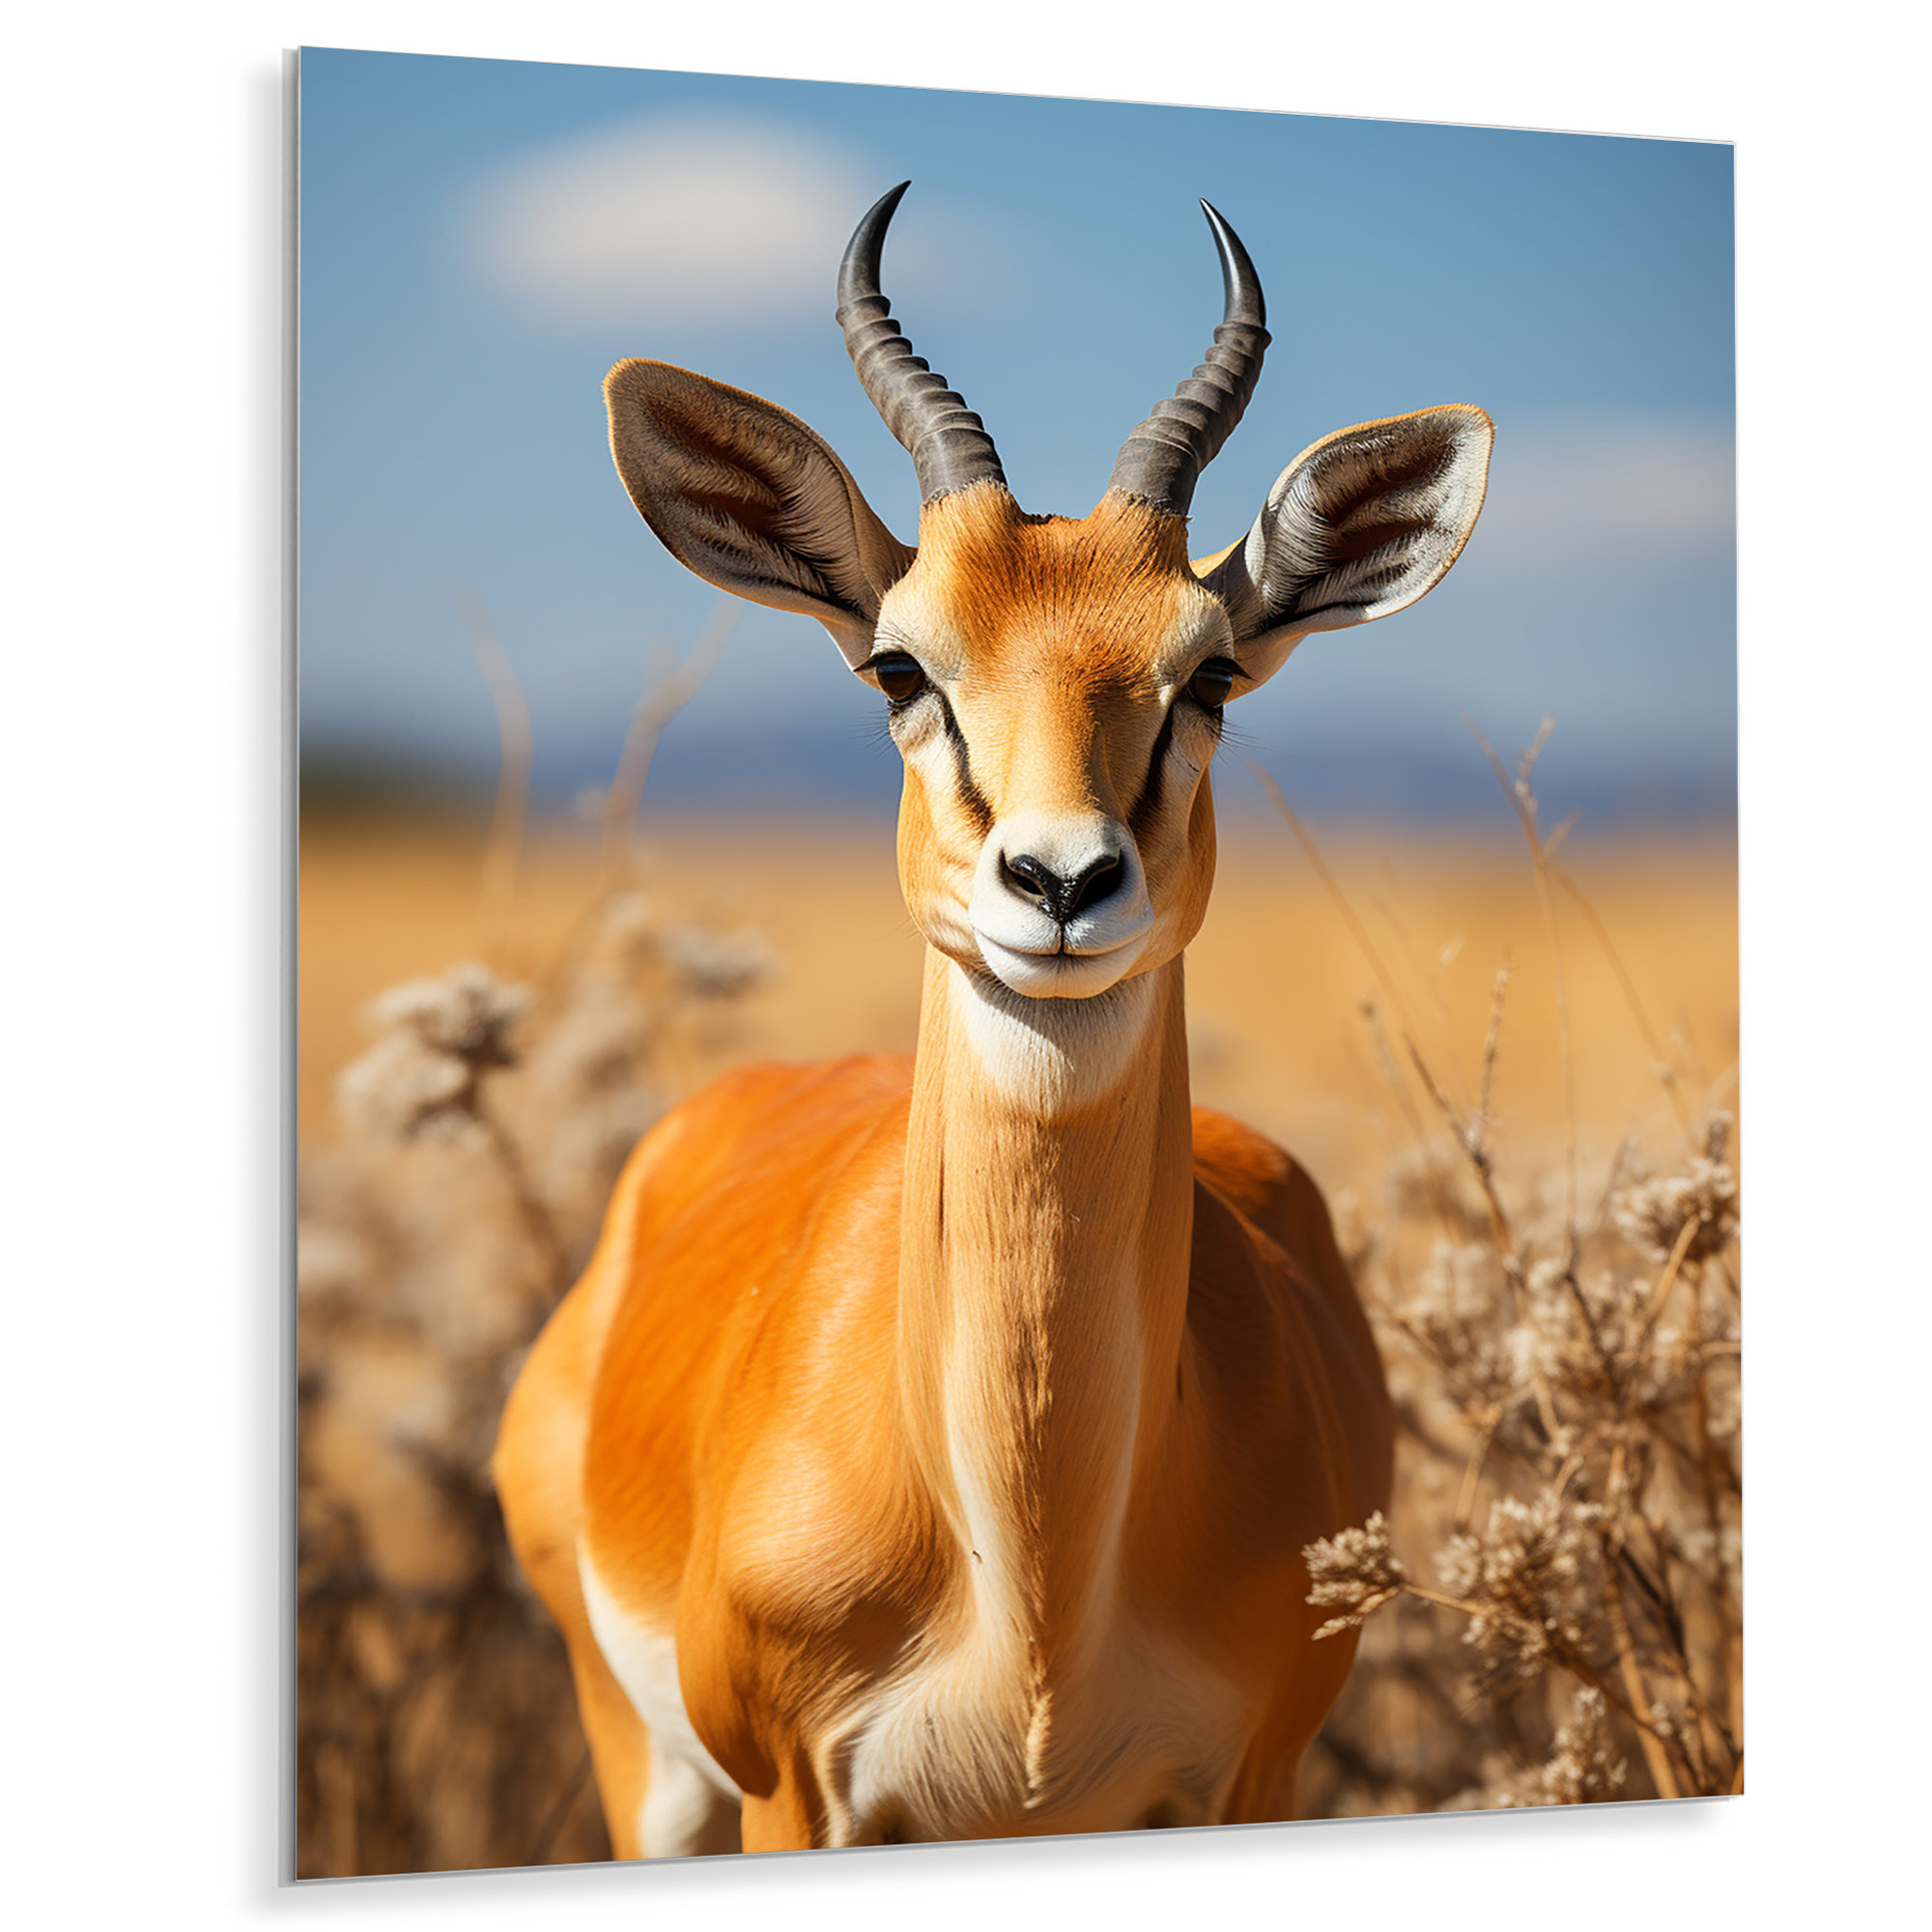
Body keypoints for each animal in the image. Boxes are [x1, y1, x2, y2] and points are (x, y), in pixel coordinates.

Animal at [494, 184, 1492, 1857]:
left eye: (1209, 672)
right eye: (901, 662)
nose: (1064, 880)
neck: (1033, 1588)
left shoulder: (1251, 1787)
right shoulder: (787, 1801)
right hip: (647, 1770)